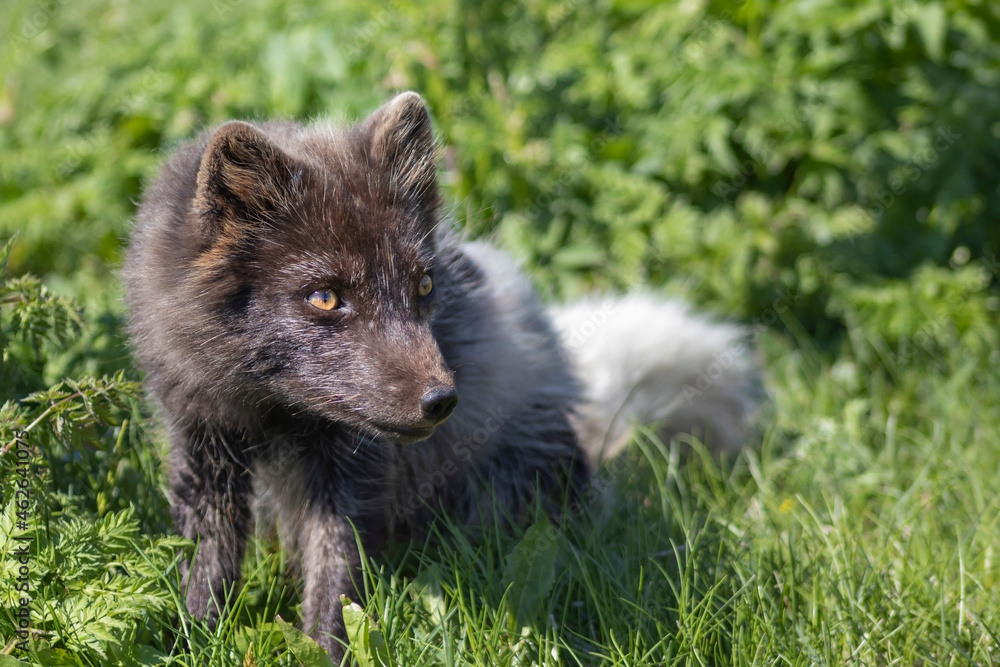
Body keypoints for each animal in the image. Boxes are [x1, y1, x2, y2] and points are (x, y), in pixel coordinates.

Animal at [123, 91, 759, 660]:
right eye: (325, 297)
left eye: (424, 285)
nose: (442, 401)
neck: (276, 412)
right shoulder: (202, 443)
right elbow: (207, 562)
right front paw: (193, 640)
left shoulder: (354, 474)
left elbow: (336, 578)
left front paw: (324, 651)